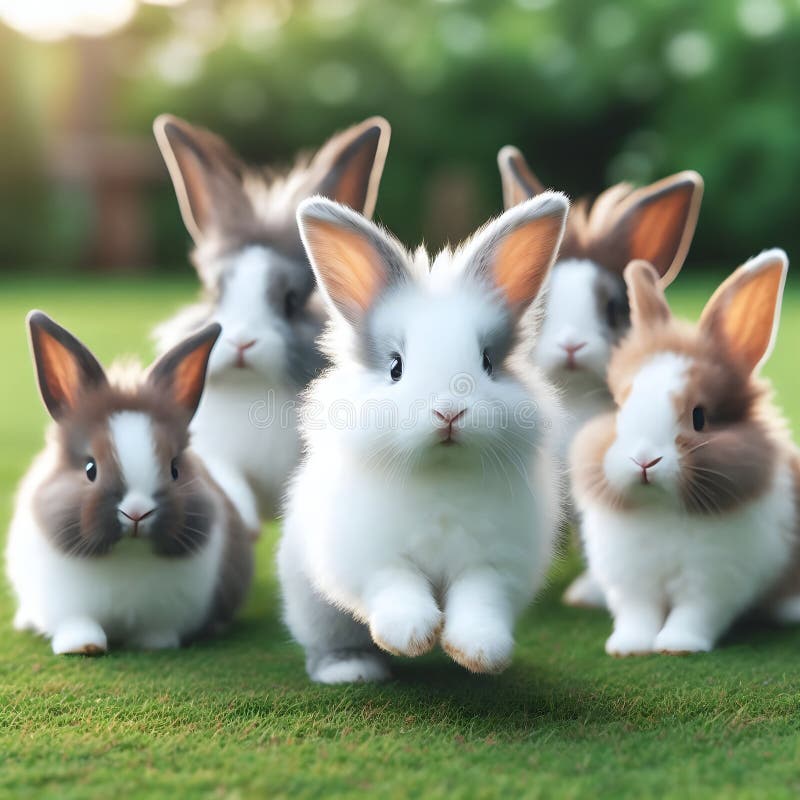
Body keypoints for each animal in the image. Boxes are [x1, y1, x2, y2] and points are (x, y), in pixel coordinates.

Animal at [6, 312, 254, 655]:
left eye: (175, 469)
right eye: (90, 468)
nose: (137, 513)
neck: (128, 555)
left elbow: (156, 631)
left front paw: (155, 645)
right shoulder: (68, 609)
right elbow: (79, 625)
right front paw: (84, 647)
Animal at [152, 115, 391, 532]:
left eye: (291, 301)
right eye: (215, 293)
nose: (242, 342)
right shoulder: (214, 454)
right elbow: (233, 486)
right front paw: (244, 520)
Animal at [278, 191, 570, 683]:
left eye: (487, 361)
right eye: (396, 367)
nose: (449, 412)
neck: (441, 475)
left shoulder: (492, 564)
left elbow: (480, 600)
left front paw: (479, 652)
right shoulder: (373, 558)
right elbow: (396, 586)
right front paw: (411, 636)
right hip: (315, 608)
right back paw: (352, 670)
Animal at [571, 250, 800, 656]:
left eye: (699, 417)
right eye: (619, 407)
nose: (644, 460)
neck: (660, 510)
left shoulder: (713, 584)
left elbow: (693, 616)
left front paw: (677, 646)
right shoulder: (632, 583)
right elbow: (637, 615)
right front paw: (628, 647)